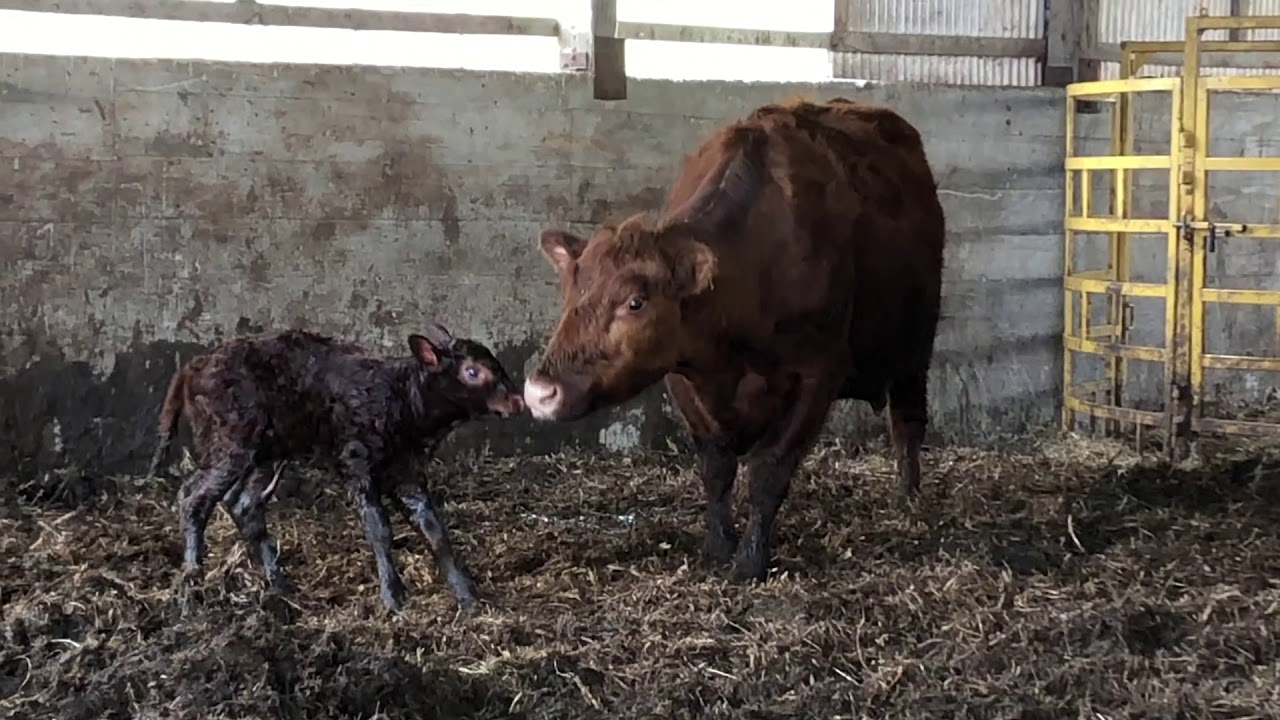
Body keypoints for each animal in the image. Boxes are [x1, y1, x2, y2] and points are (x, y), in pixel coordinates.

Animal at [147, 324, 525, 612]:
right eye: (472, 371)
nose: (518, 401)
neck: (402, 399)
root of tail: (190, 368)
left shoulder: (407, 471)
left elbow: (434, 529)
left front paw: (468, 597)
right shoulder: (356, 461)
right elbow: (378, 528)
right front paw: (393, 598)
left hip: (266, 451)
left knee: (243, 504)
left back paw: (280, 586)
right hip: (228, 441)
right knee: (194, 497)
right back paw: (193, 585)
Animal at [521, 97, 945, 583]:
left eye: (635, 302)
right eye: (570, 291)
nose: (540, 392)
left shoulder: (818, 374)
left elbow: (769, 470)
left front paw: (749, 560)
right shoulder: (683, 377)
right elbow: (716, 467)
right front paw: (719, 545)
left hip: (915, 346)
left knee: (907, 422)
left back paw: (908, 499)